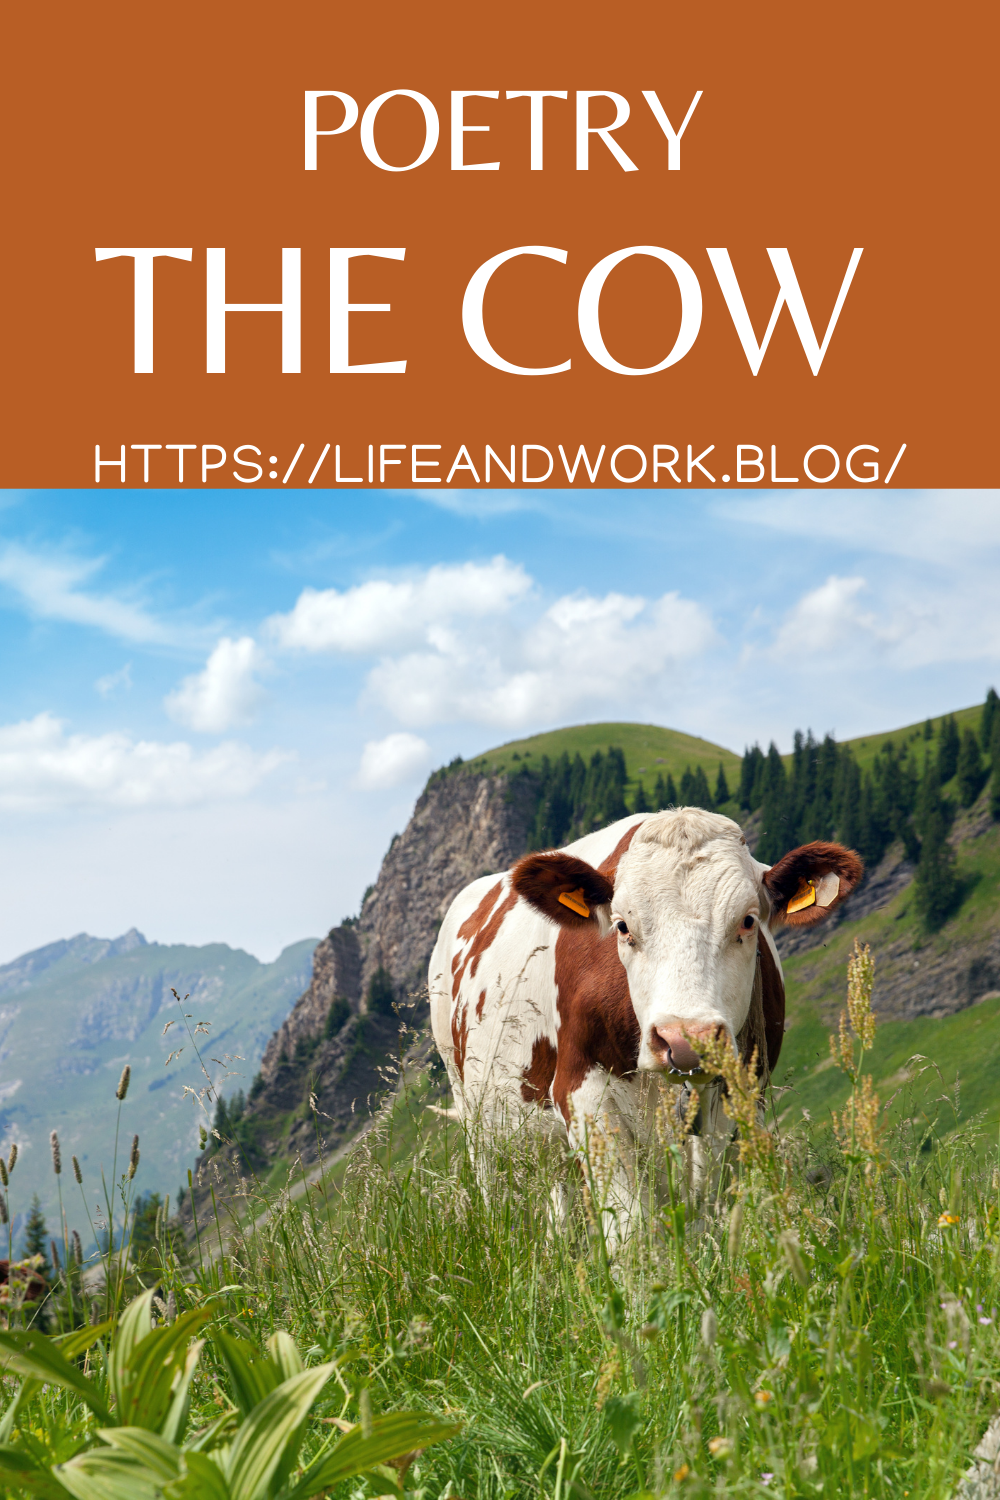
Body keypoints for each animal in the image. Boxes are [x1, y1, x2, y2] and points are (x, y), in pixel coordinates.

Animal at [429, 806, 862, 1242]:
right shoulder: (581, 1091)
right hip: (473, 1109)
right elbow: (631, 1227)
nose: (685, 1040)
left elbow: (708, 1217)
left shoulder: (743, 1098)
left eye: (747, 920)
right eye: (622, 926)